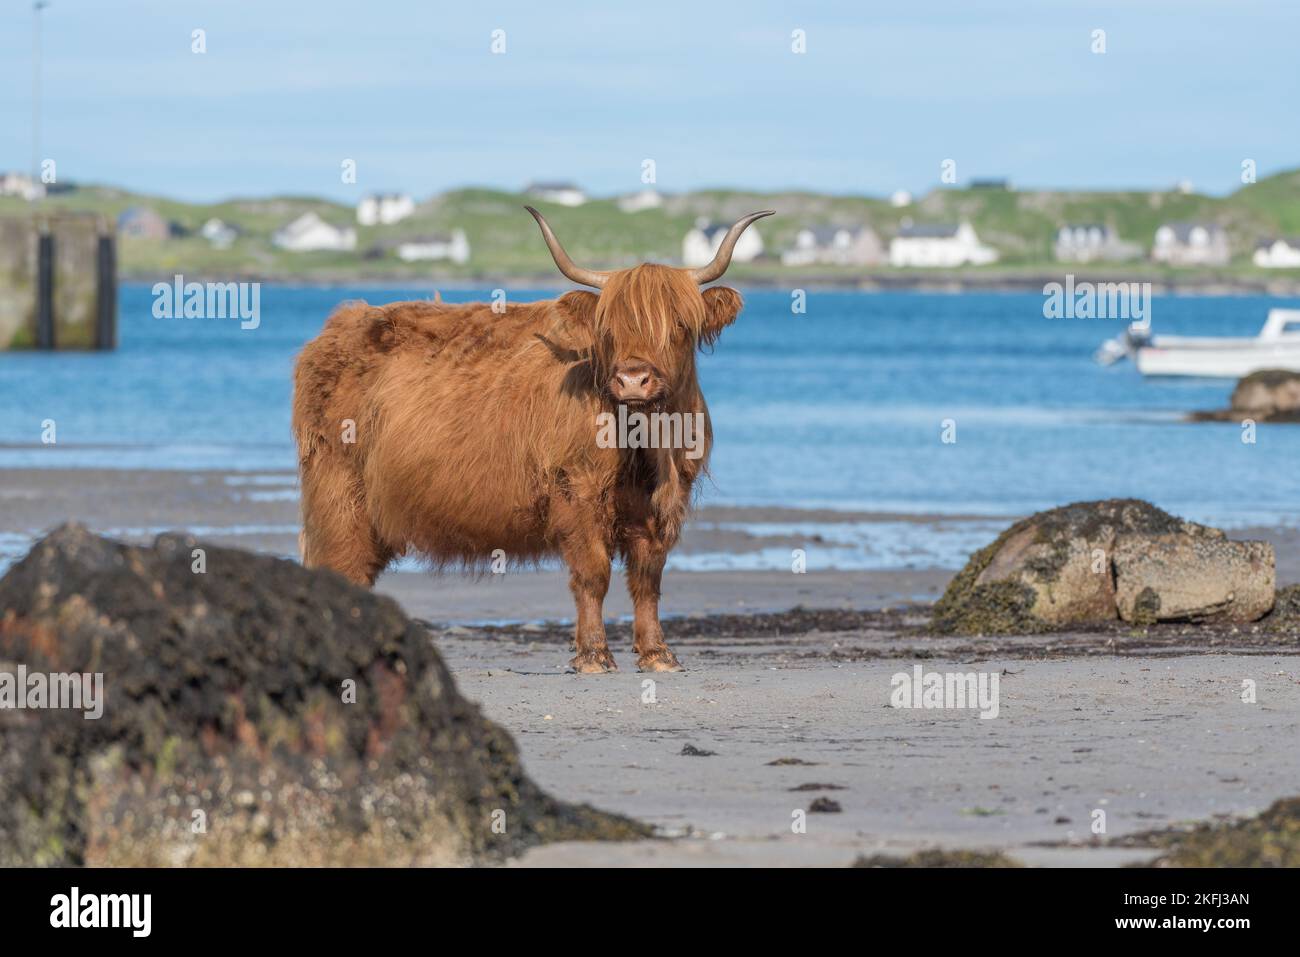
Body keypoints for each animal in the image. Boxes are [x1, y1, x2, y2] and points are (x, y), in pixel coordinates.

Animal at [292, 207, 773, 673]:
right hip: (339, 495)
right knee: (340, 566)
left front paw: (658, 654)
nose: (633, 379)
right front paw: (593, 656)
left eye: (680, 325)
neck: (646, 446)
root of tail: (341, 324)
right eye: (608, 330)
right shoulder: (577, 490)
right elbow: (593, 572)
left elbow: (647, 578)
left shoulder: (661, 503)